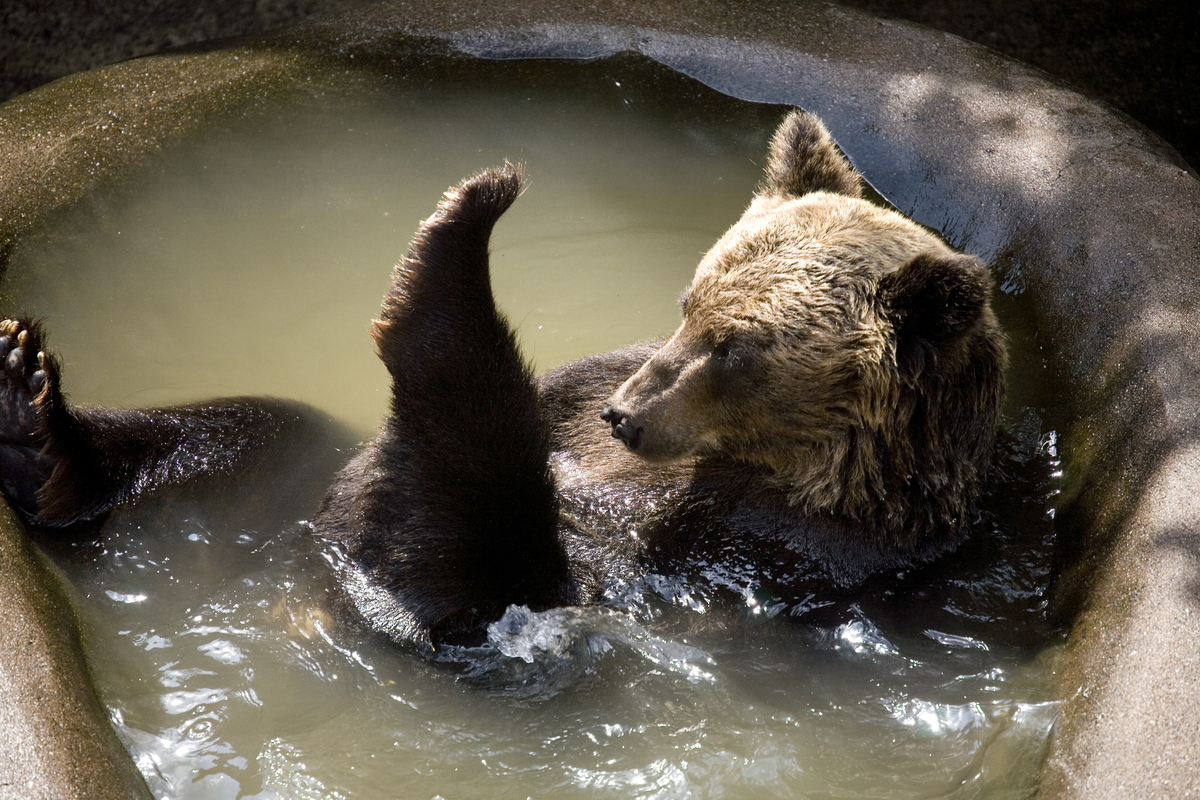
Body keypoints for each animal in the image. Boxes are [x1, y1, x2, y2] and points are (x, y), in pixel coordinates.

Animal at [0, 111, 1005, 650]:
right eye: (690, 303)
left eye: (739, 348)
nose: (628, 419)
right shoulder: (592, 385)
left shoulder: (772, 547)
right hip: (302, 472)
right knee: (251, 430)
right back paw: (32, 415)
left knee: (475, 509)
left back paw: (453, 253)